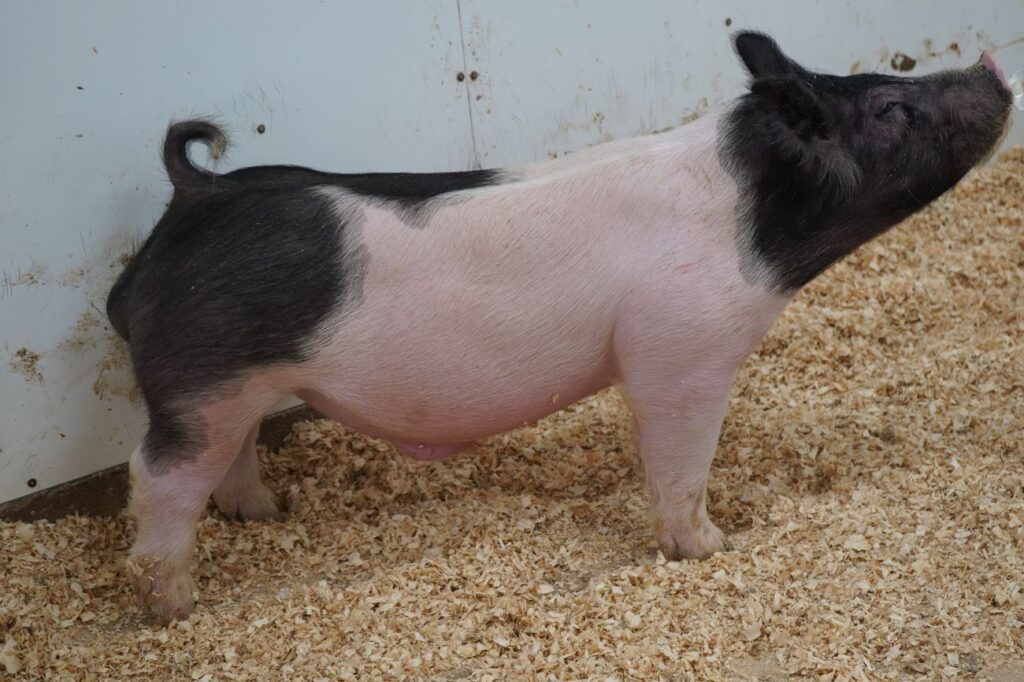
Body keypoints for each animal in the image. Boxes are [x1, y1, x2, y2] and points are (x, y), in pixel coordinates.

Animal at [107, 31, 1012, 622]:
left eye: (884, 78)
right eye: (891, 107)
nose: (994, 64)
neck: (752, 220)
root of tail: (194, 195)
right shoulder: (681, 350)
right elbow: (679, 460)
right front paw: (709, 547)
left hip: (234, 386)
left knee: (230, 459)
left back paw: (267, 513)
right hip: (199, 378)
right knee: (157, 477)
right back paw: (175, 608)